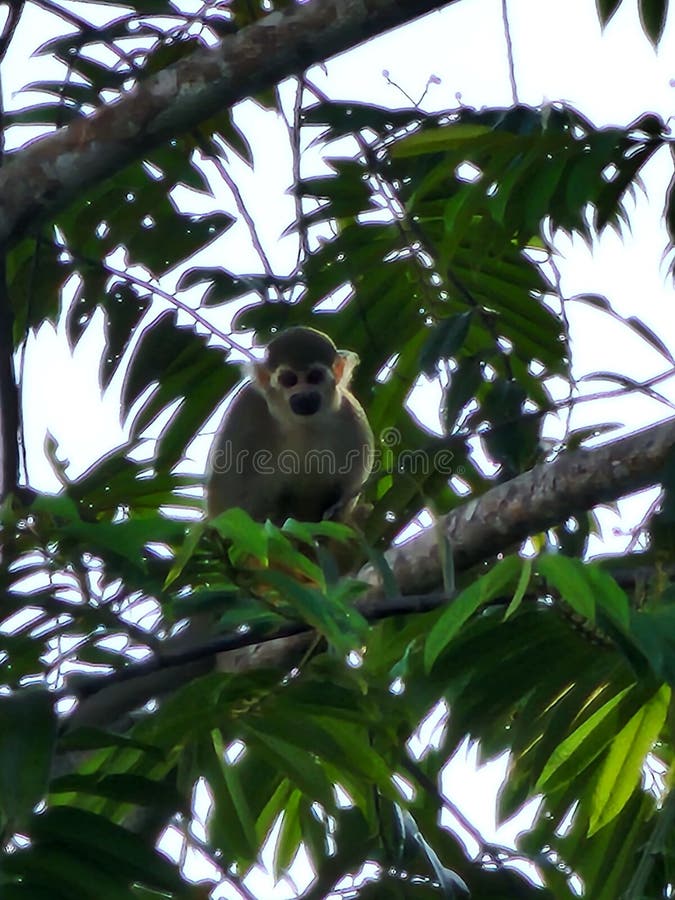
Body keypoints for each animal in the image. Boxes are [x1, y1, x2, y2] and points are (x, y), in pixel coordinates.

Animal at [207, 326, 374, 527]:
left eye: (315, 377)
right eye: (289, 380)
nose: (304, 395)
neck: (300, 424)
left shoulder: (351, 416)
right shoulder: (246, 407)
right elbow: (226, 506)